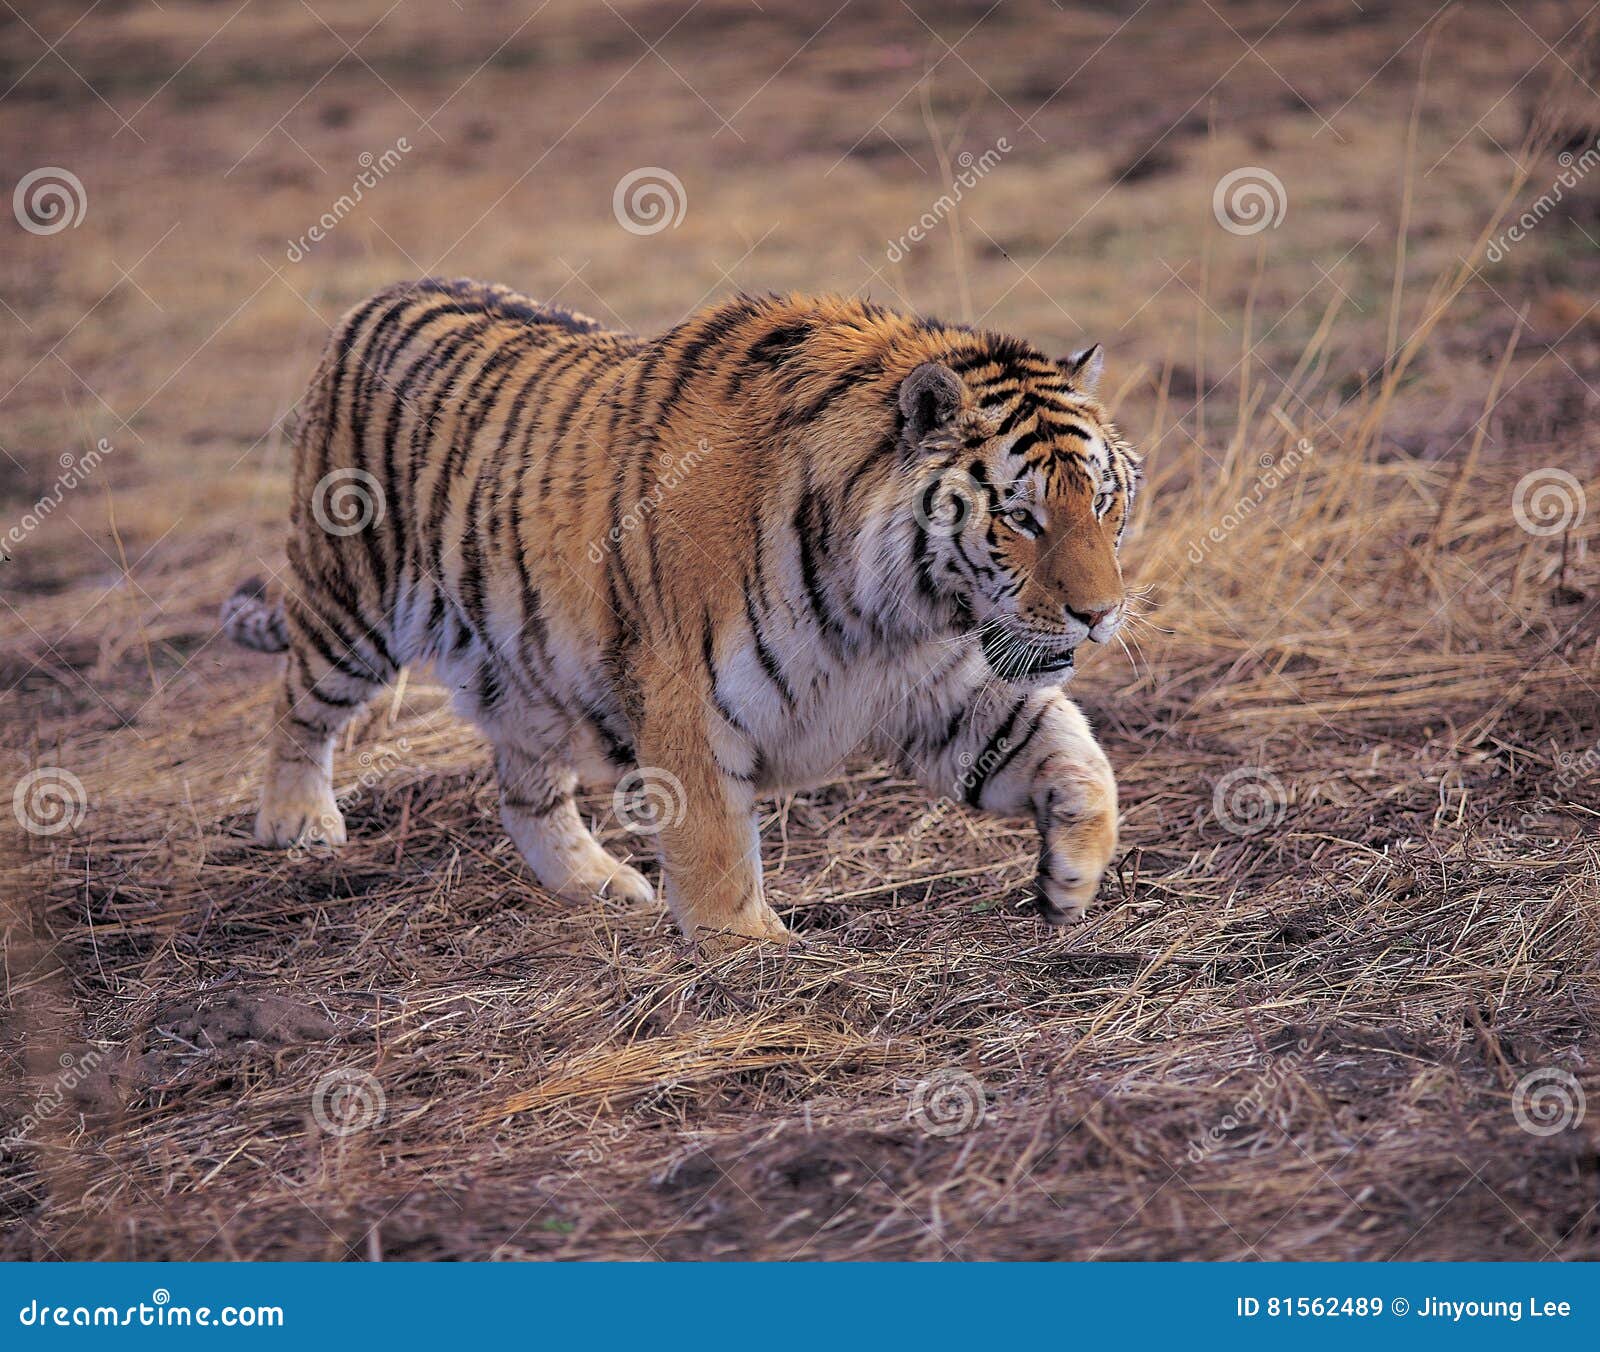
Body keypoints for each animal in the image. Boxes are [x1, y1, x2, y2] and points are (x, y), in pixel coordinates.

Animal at [221, 278, 1142, 942]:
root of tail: (371, 304)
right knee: (297, 703)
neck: (893, 616)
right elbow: (714, 843)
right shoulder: (687, 698)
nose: (1099, 614)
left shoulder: (946, 691)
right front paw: (751, 957)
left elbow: (1077, 755)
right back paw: (297, 822)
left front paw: (1071, 880)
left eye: (1103, 502)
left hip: (521, 665)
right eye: (1021, 517)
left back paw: (596, 884)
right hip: (353, 603)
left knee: (525, 791)